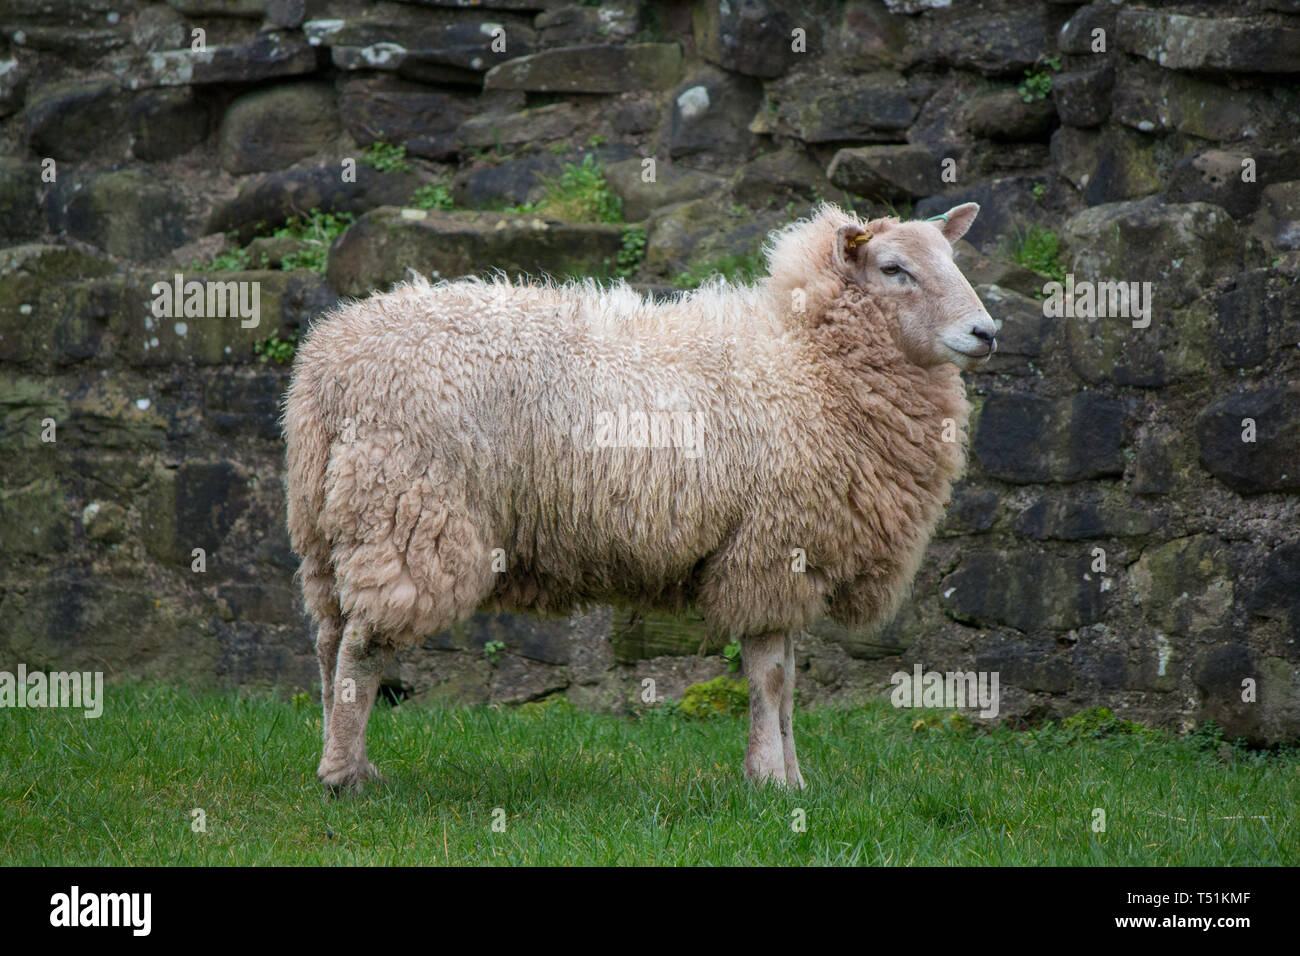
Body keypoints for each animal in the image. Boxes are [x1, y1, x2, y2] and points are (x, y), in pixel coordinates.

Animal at [283, 201, 997, 792]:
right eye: (894, 268)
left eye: (952, 258)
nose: (986, 333)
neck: (805, 362)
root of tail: (330, 360)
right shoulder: (769, 549)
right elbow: (769, 677)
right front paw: (770, 781)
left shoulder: (787, 561)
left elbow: (789, 681)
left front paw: (792, 778)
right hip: (408, 509)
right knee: (364, 644)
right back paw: (344, 778)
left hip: (329, 520)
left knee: (328, 639)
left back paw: (343, 758)